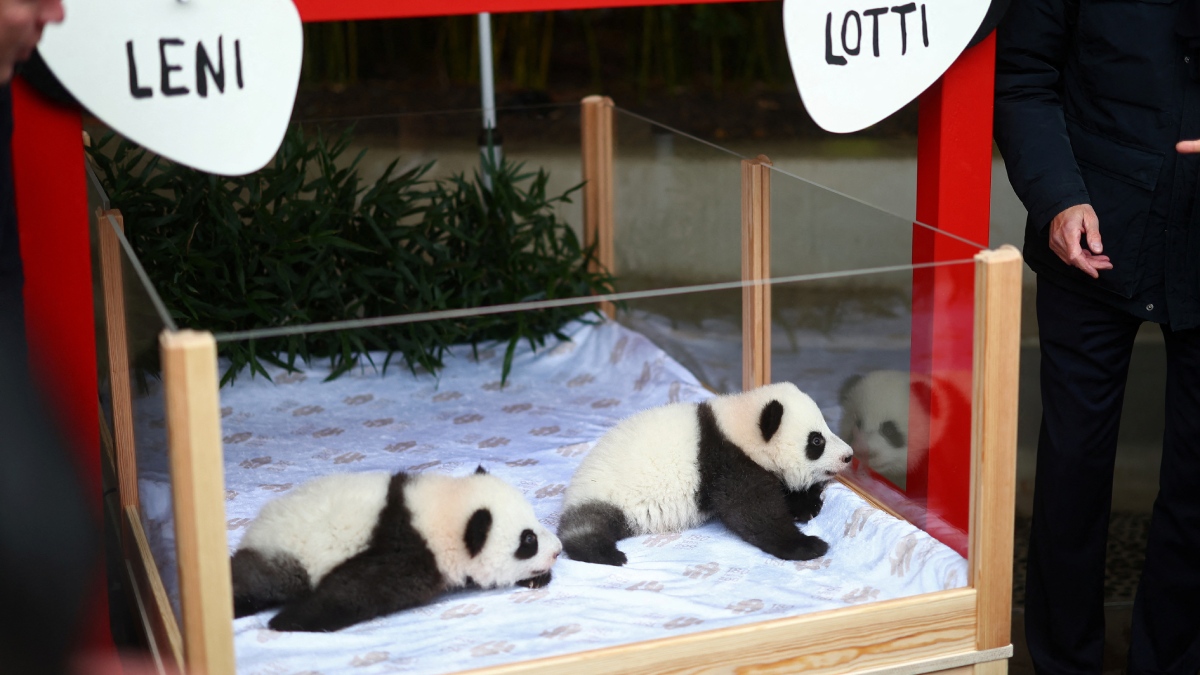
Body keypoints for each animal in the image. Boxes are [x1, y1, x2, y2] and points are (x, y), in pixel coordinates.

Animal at [230, 466, 562, 632]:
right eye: (528, 541)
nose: (558, 550)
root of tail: (253, 534)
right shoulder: (406, 551)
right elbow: (359, 590)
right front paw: (291, 620)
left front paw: (537, 578)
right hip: (286, 554)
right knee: (256, 582)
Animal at [557, 381, 853, 566]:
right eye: (816, 441)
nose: (848, 456)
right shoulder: (728, 463)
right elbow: (755, 514)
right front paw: (808, 545)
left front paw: (807, 504)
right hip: (608, 492)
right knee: (587, 526)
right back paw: (604, 553)